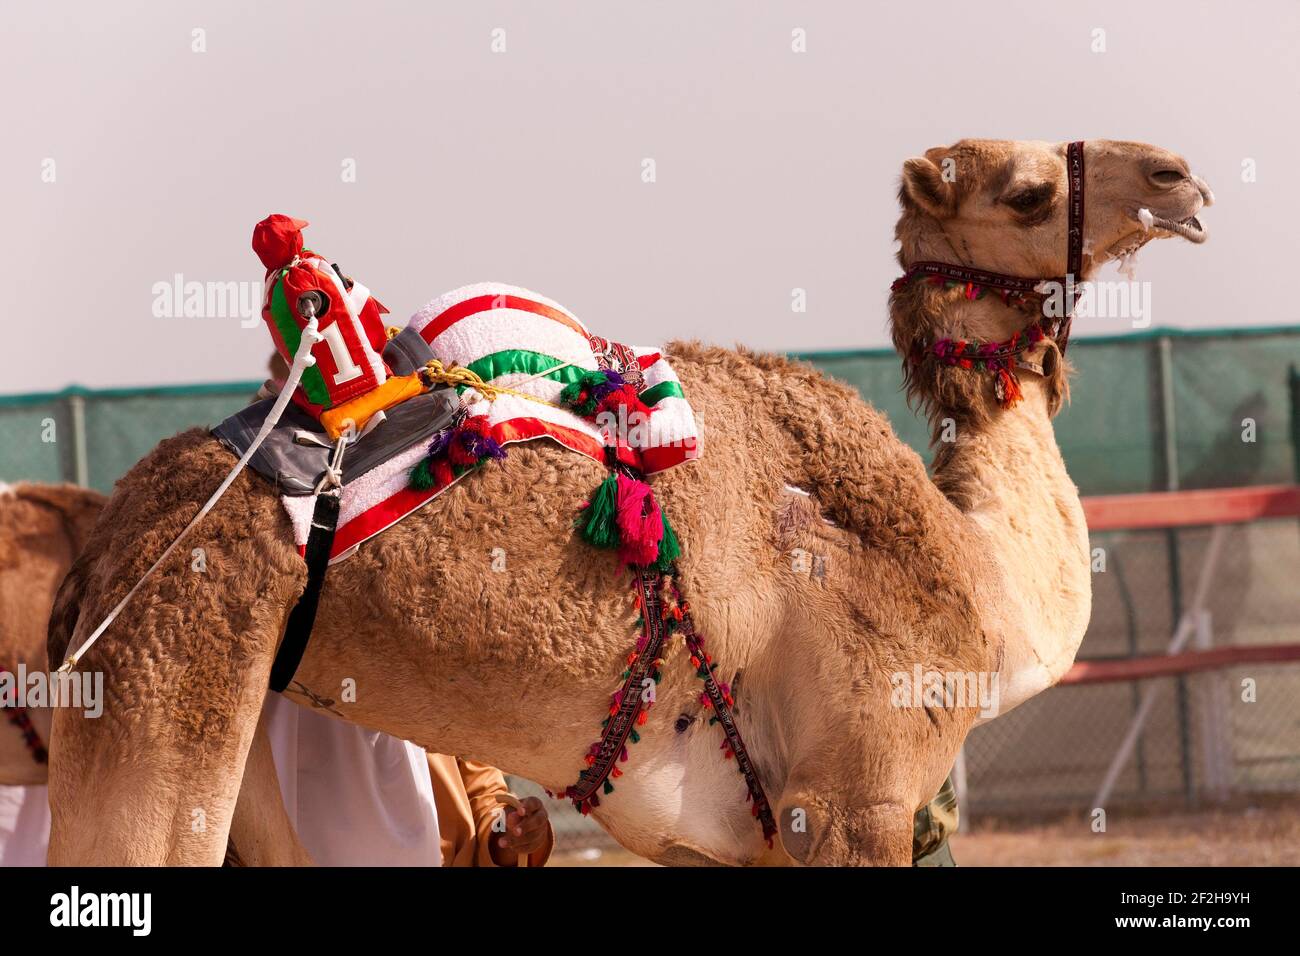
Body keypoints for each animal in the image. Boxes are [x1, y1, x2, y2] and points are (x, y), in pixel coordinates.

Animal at [45, 139, 1211, 866]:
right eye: (1025, 192)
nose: (1181, 177)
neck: (975, 570)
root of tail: (107, 543)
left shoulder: (729, 834)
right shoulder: (851, 795)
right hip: (172, 661)